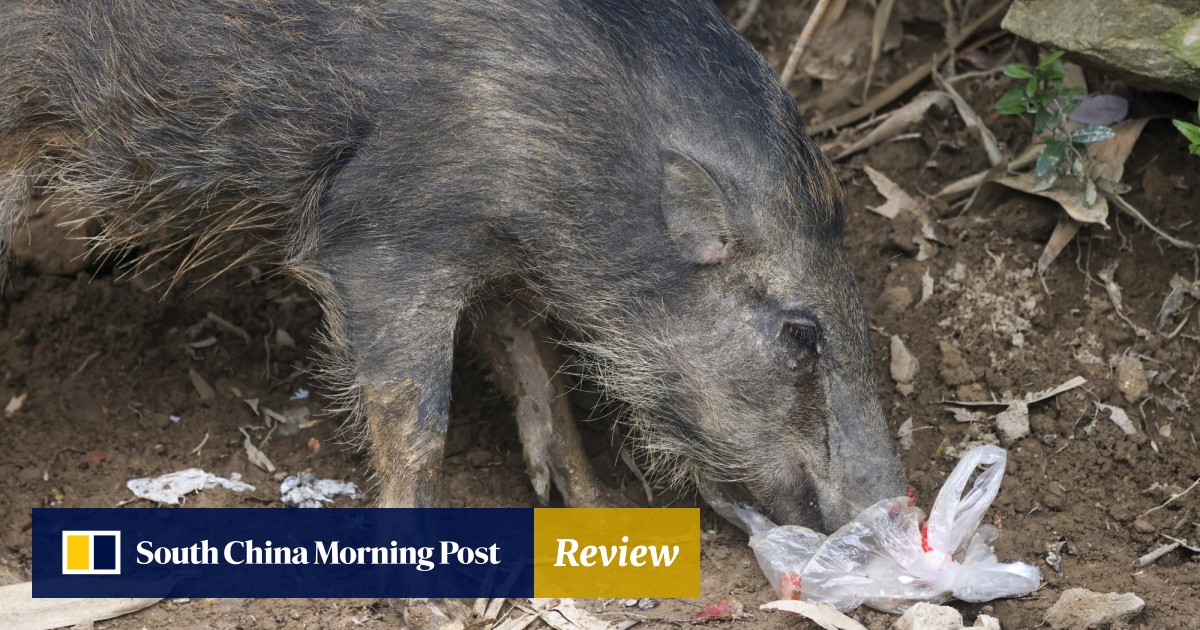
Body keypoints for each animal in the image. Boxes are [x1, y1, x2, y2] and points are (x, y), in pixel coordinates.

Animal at [0, 0, 905, 532]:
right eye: (800, 333)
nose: (896, 504)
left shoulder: (495, 256)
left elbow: (539, 375)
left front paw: (596, 504)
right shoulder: (380, 242)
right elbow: (417, 416)